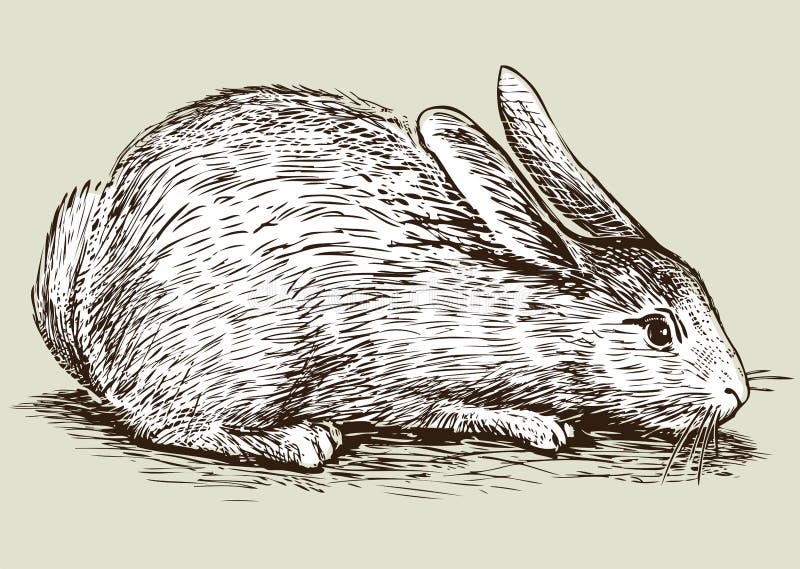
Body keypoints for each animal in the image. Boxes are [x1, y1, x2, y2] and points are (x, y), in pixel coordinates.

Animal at [32, 66, 749, 469]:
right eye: (659, 331)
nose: (736, 393)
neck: (524, 307)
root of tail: (97, 333)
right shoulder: (397, 373)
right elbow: (448, 409)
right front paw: (541, 426)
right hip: (250, 361)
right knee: (166, 423)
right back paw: (299, 442)